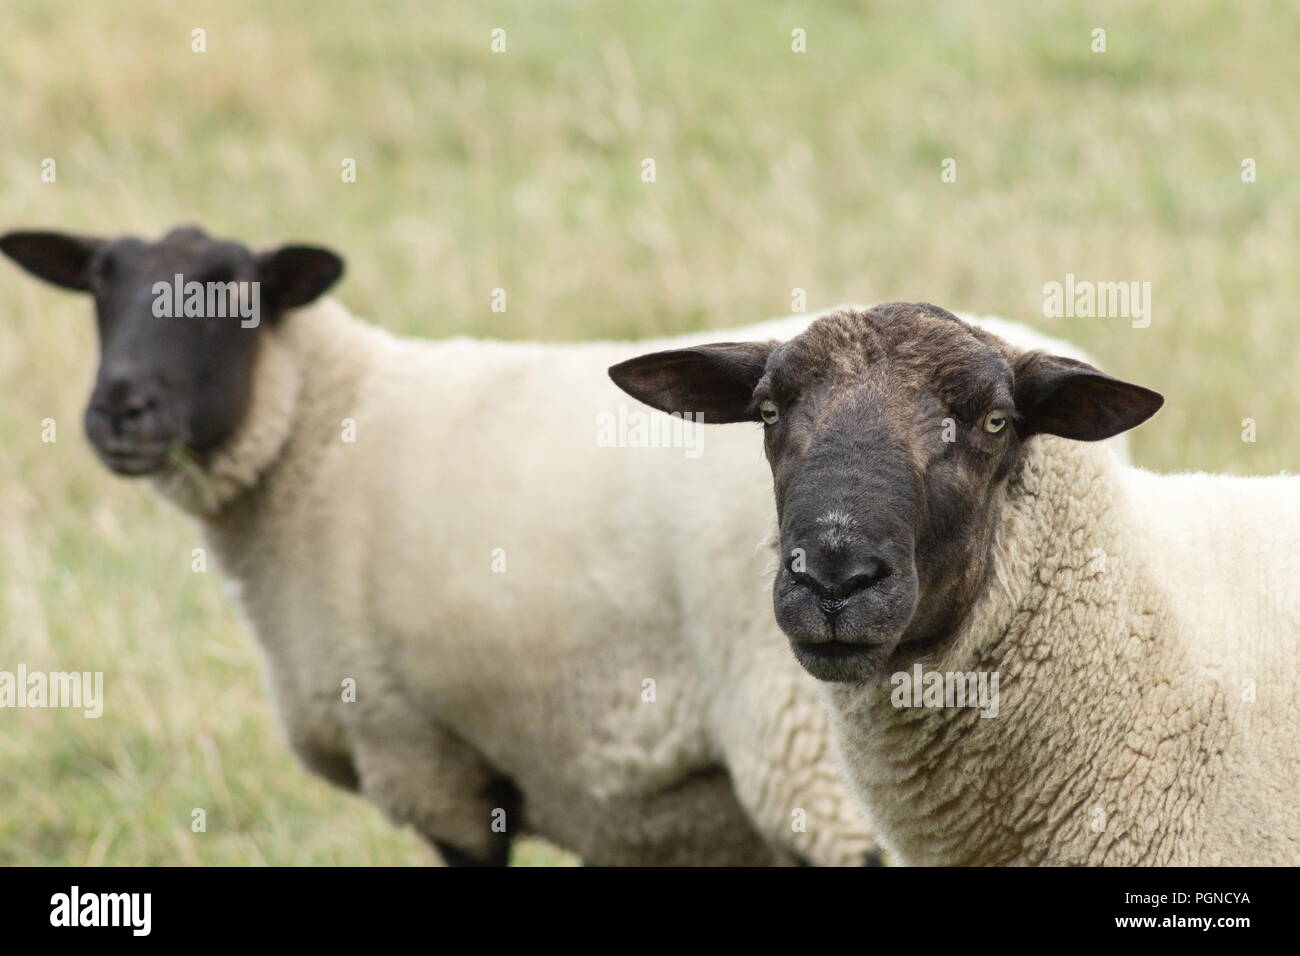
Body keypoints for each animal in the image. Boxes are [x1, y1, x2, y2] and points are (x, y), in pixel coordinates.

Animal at [2, 228, 1109, 866]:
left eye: (234, 294)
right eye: (98, 285)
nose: (118, 410)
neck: (322, 431)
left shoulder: (428, 759)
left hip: (807, 764)